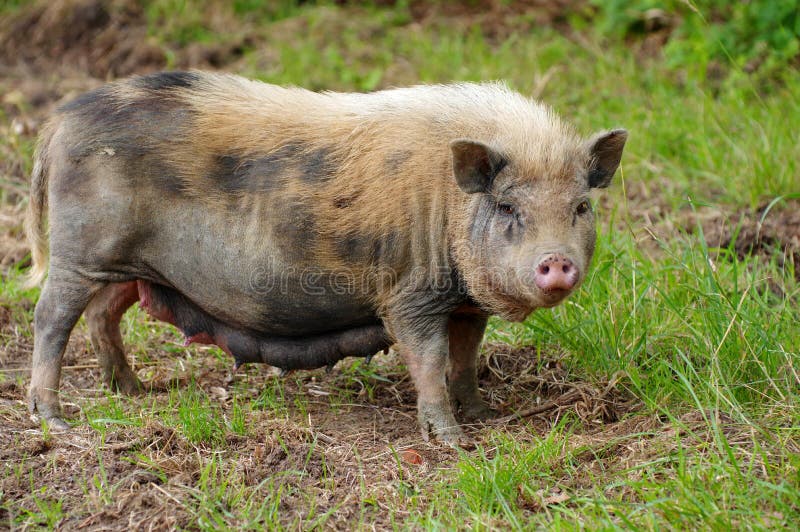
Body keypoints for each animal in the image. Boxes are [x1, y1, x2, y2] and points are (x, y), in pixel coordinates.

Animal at [25, 71, 626, 442]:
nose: (555, 262)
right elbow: (429, 360)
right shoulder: (410, 294)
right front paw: (455, 441)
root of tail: (60, 123)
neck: (451, 205)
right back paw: (57, 421)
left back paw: (133, 391)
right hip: (78, 251)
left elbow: (465, 357)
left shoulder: (465, 302)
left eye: (579, 207)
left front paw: (485, 415)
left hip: (131, 267)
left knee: (104, 313)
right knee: (51, 318)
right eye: (507, 207)